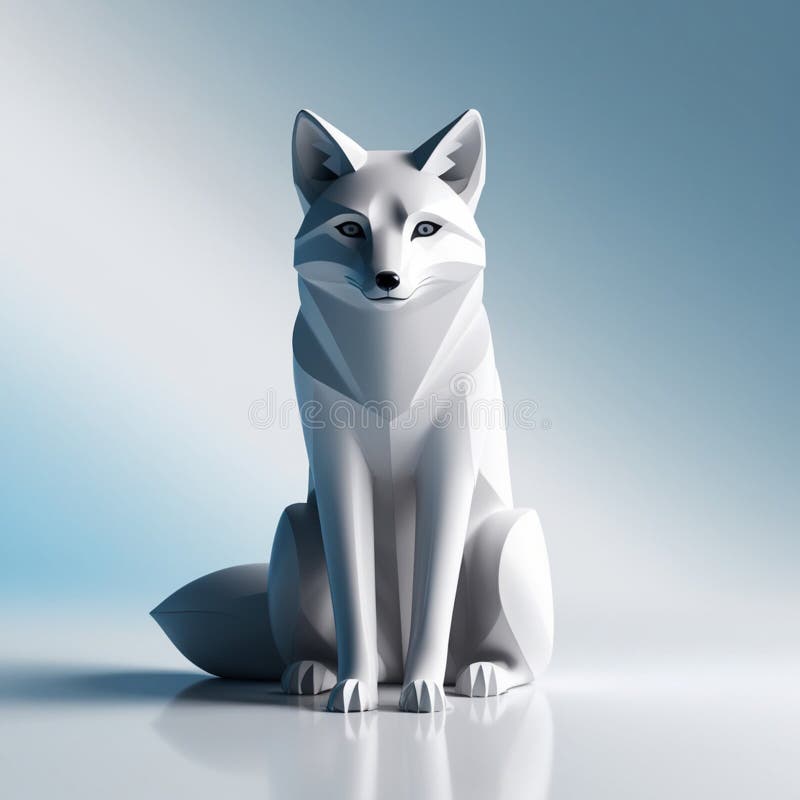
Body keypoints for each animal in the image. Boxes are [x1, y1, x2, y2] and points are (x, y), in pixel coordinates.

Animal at [152, 109, 553, 713]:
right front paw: (352, 688)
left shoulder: (448, 470)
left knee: (523, 663)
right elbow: (352, 598)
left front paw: (424, 691)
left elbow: (434, 601)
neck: (389, 369)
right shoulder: (337, 468)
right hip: (295, 528)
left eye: (425, 229)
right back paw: (311, 672)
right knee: (313, 644)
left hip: (503, 539)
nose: (388, 280)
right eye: (350, 229)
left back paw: (478, 675)